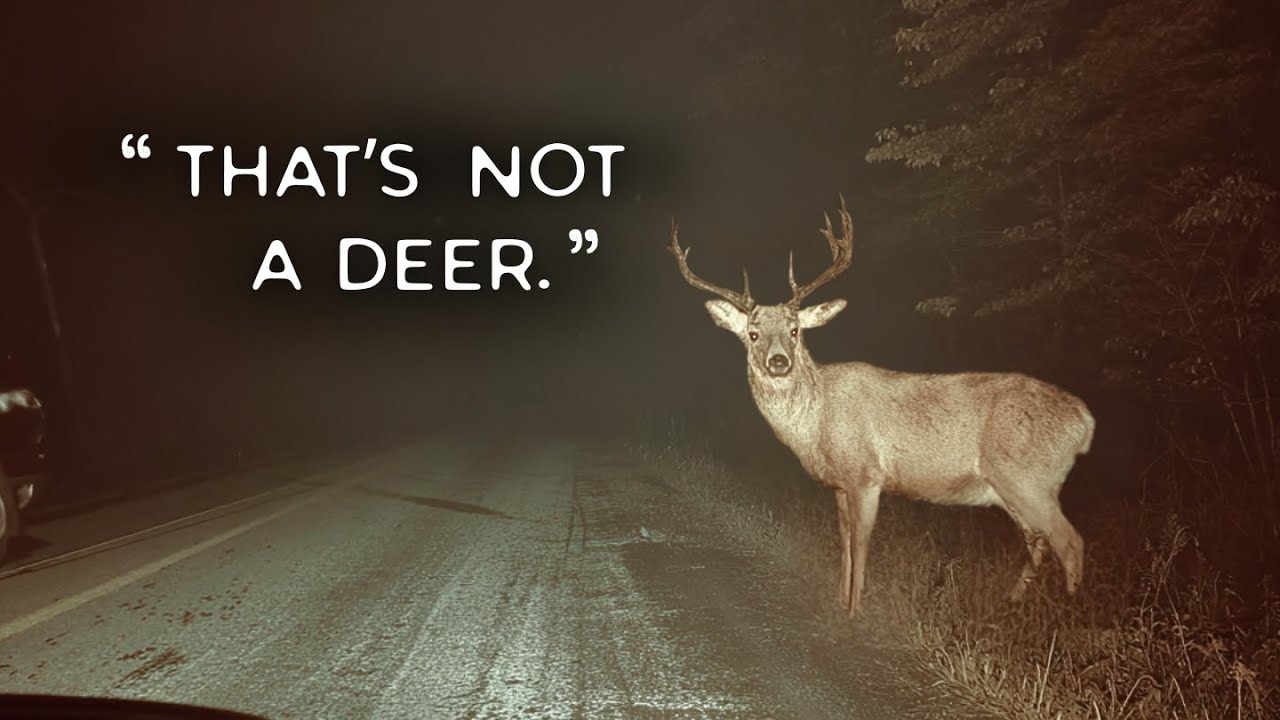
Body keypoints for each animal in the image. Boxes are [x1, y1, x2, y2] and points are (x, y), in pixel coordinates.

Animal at [668, 196, 1094, 616]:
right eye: (753, 334)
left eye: (795, 330)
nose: (778, 362)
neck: (817, 422)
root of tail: (1084, 421)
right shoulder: (839, 485)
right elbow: (843, 543)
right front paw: (840, 601)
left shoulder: (866, 475)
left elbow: (861, 544)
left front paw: (856, 612)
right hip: (1016, 488)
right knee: (1039, 541)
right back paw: (1013, 604)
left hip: (1030, 477)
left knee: (1070, 540)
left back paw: (1069, 612)